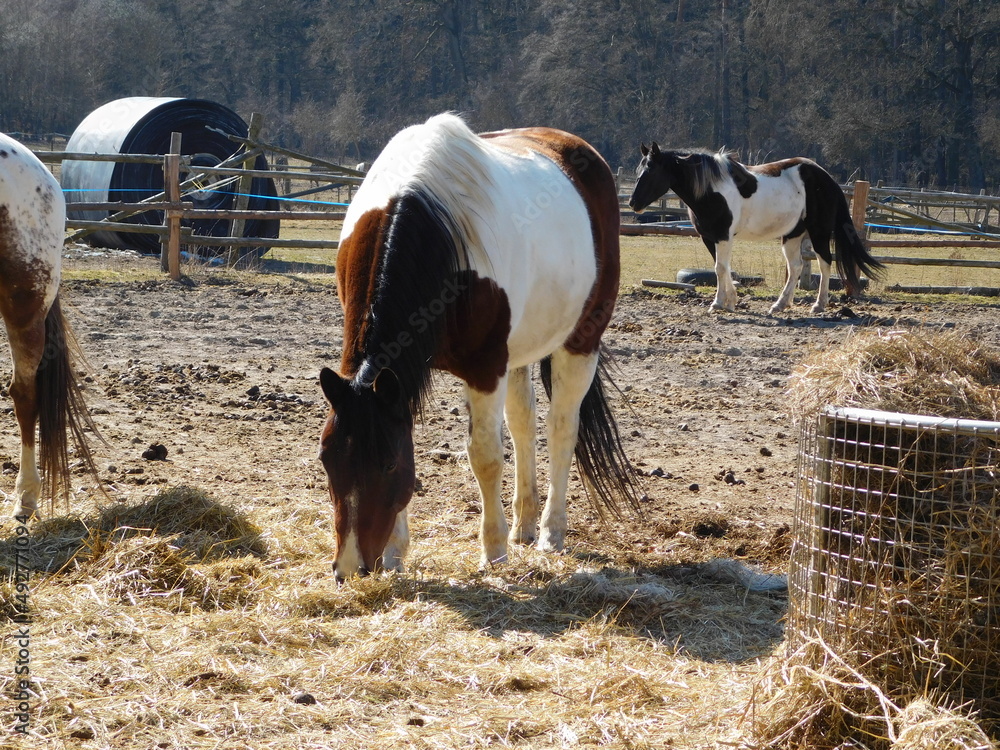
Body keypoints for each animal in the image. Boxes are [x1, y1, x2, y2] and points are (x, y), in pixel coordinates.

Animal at [319, 113, 640, 580]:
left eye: (388, 464)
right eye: (327, 460)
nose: (350, 567)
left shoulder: (485, 367)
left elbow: (485, 456)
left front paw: (493, 550)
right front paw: (397, 552)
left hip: (581, 342)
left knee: (562, 428)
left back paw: (550, 532)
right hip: (521, 351)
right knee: (524, 423)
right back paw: (525, 525)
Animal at [628, 143, 884, 314]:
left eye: (651, 171)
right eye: (639, 170)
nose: (633, 204)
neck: (712, 189)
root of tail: (826, 177)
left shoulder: (723, 236)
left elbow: (720, 268)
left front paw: (718, 303)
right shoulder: (710, 238)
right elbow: (723, 268)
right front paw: (730, 301)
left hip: (818, 232)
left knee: (824, 263)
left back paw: (818, 305)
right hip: (792, 235)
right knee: (796, 266)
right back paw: (780, 304)